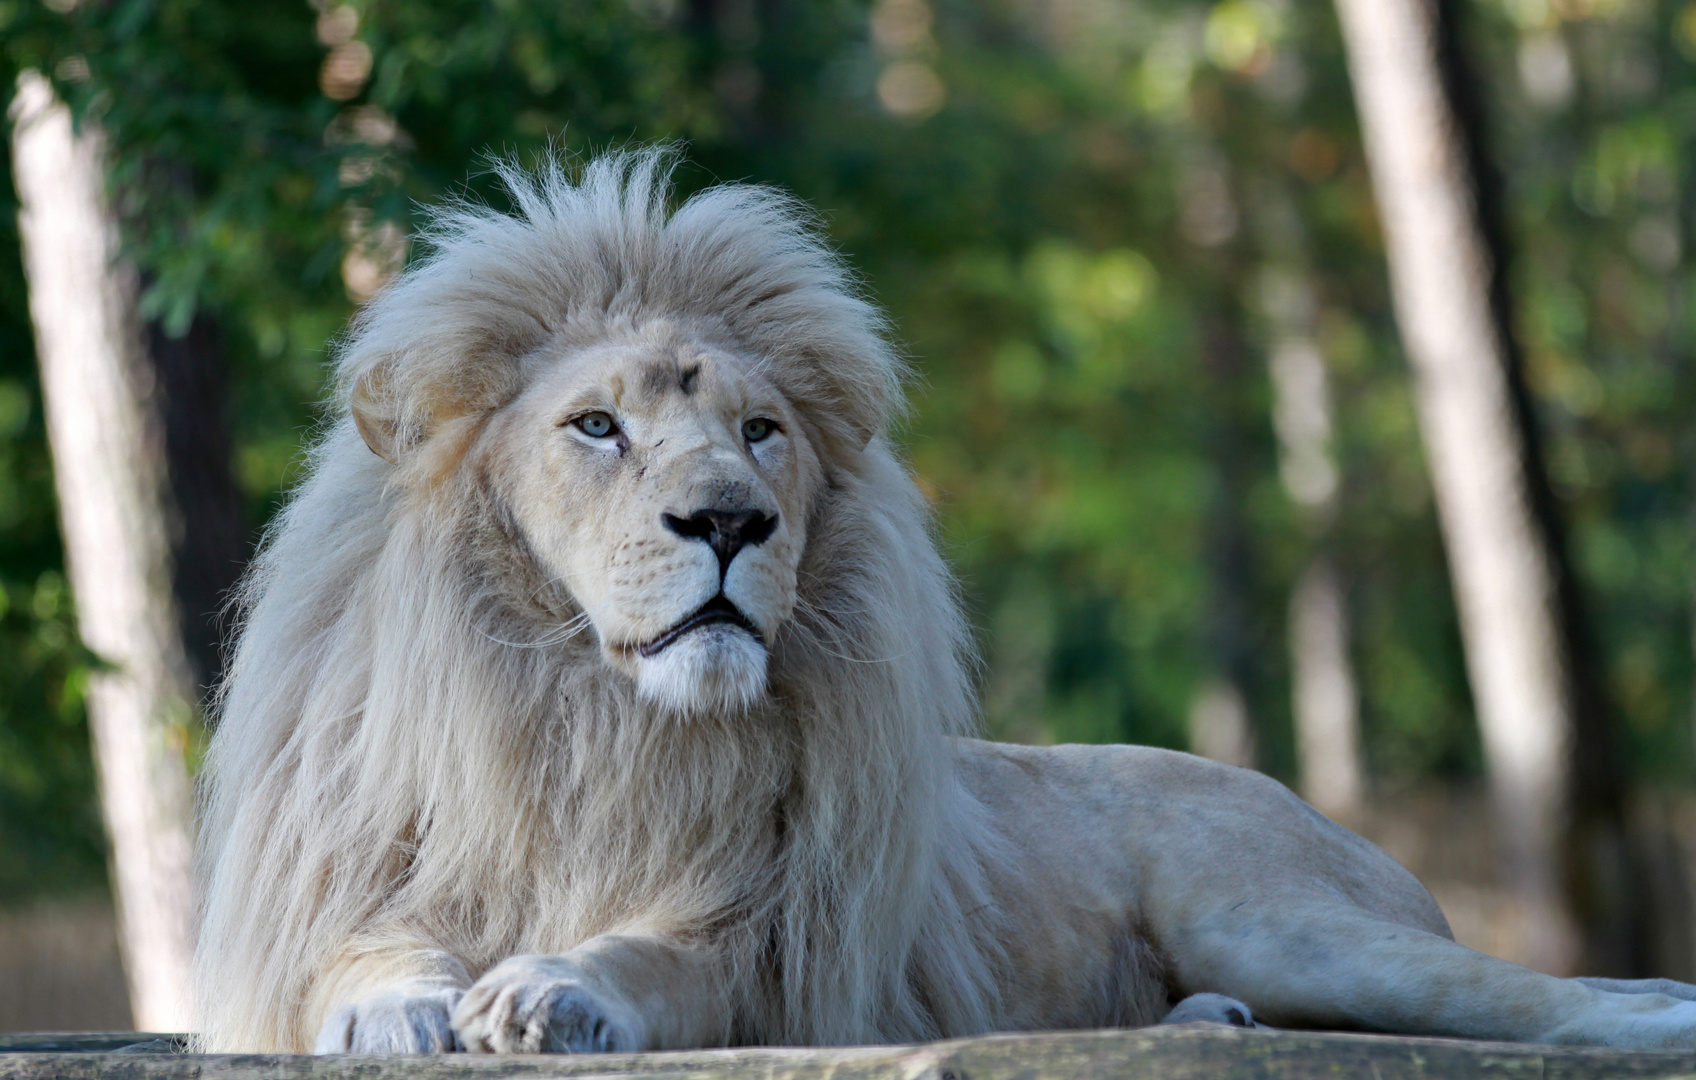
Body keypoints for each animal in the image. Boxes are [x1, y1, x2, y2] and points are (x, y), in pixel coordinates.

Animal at [194, 150, 1696, 1055]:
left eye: (759, 433)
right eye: (596, 426)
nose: (730, 522)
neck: (586, 717)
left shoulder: (784, 949)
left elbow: (657, 959)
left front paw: (556, 986)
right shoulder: (337, 884)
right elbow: (360, 955)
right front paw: (400, 1011)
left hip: (1279, 917)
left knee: (1540, 998)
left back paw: (1657, 1014)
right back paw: (1203, 1026)